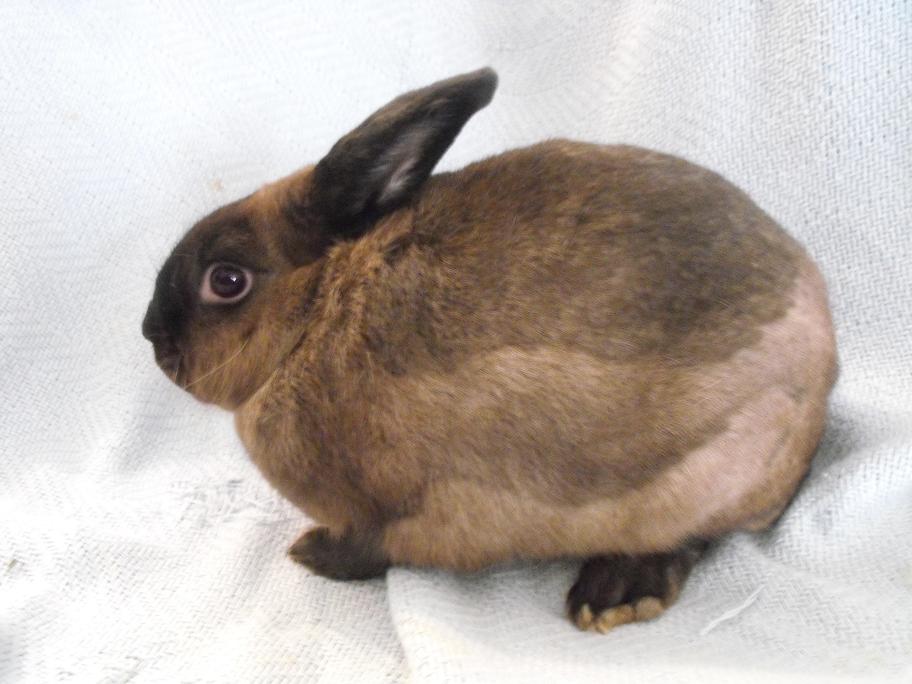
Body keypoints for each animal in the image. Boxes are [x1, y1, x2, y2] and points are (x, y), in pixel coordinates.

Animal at [142, 68, 837, 633]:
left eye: (226, 281)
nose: (152, 338)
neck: (321, 311)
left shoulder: (400, 509)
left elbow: (373, 547)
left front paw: (312, 554)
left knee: (694, 537)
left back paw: (610, 596)